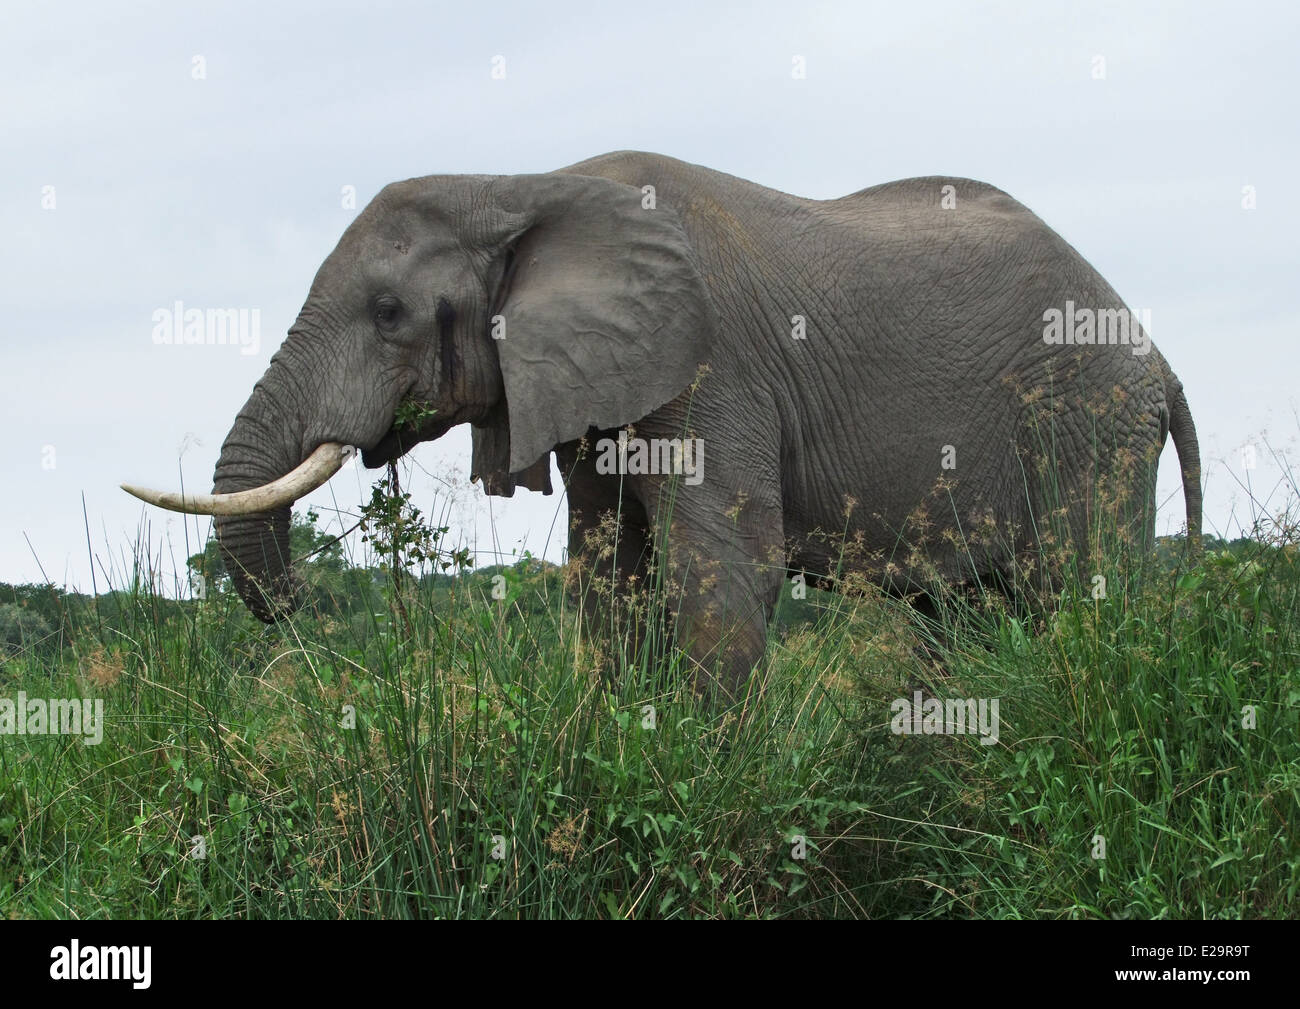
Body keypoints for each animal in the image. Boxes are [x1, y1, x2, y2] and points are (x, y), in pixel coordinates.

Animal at [124, 150, 1201, 699]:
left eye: (389, 311)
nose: (298, 605)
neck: (525, 183)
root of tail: (1156, 355)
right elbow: (611, 577)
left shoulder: (712, 365)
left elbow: (724, 574)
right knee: (970, 610)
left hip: (1089, 422)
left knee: (1077, 589)